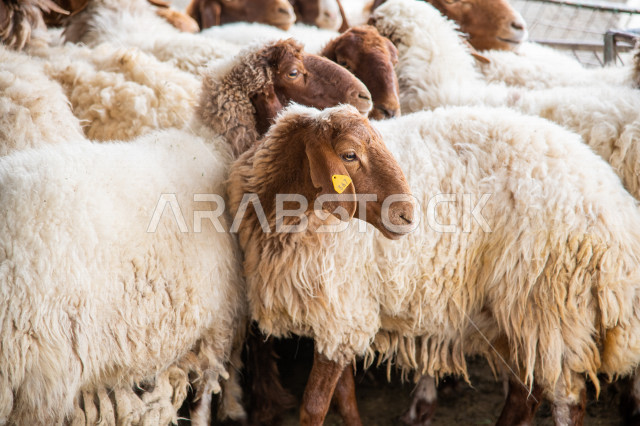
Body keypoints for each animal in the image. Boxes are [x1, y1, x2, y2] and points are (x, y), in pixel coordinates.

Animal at [229, 103, 640, 426]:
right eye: (349, 155)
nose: (407, 215)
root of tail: (615, 207)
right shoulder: (335, 315)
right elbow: (343, 398)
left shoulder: (344, 311)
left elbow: (314, 406)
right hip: (522, 311)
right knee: (526, 393)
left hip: (549, 303)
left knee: (565, 399)